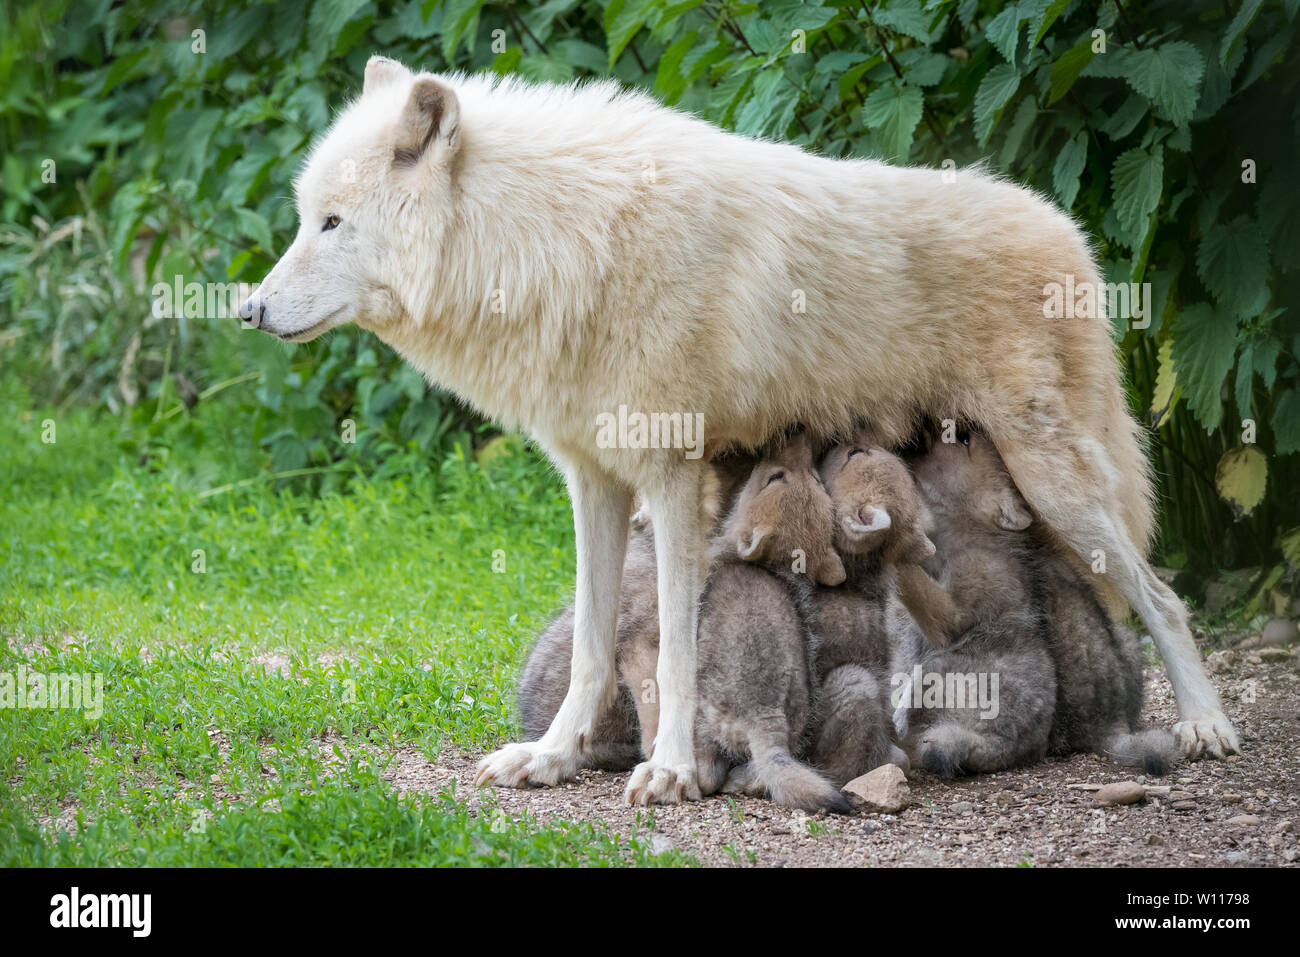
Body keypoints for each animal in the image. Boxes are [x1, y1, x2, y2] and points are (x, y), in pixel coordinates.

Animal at [241, 57, 1235, 804]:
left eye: (332, 223)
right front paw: (554, 756)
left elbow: (680, 650)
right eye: (304, 220)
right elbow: (595, 645)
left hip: (1059, 483)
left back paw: (1207, 724)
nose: (247, 308)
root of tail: (1069, 232)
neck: (555, 238)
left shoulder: (674, 477)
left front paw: (673, 770)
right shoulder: (596, 481)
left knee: (1163, 595)